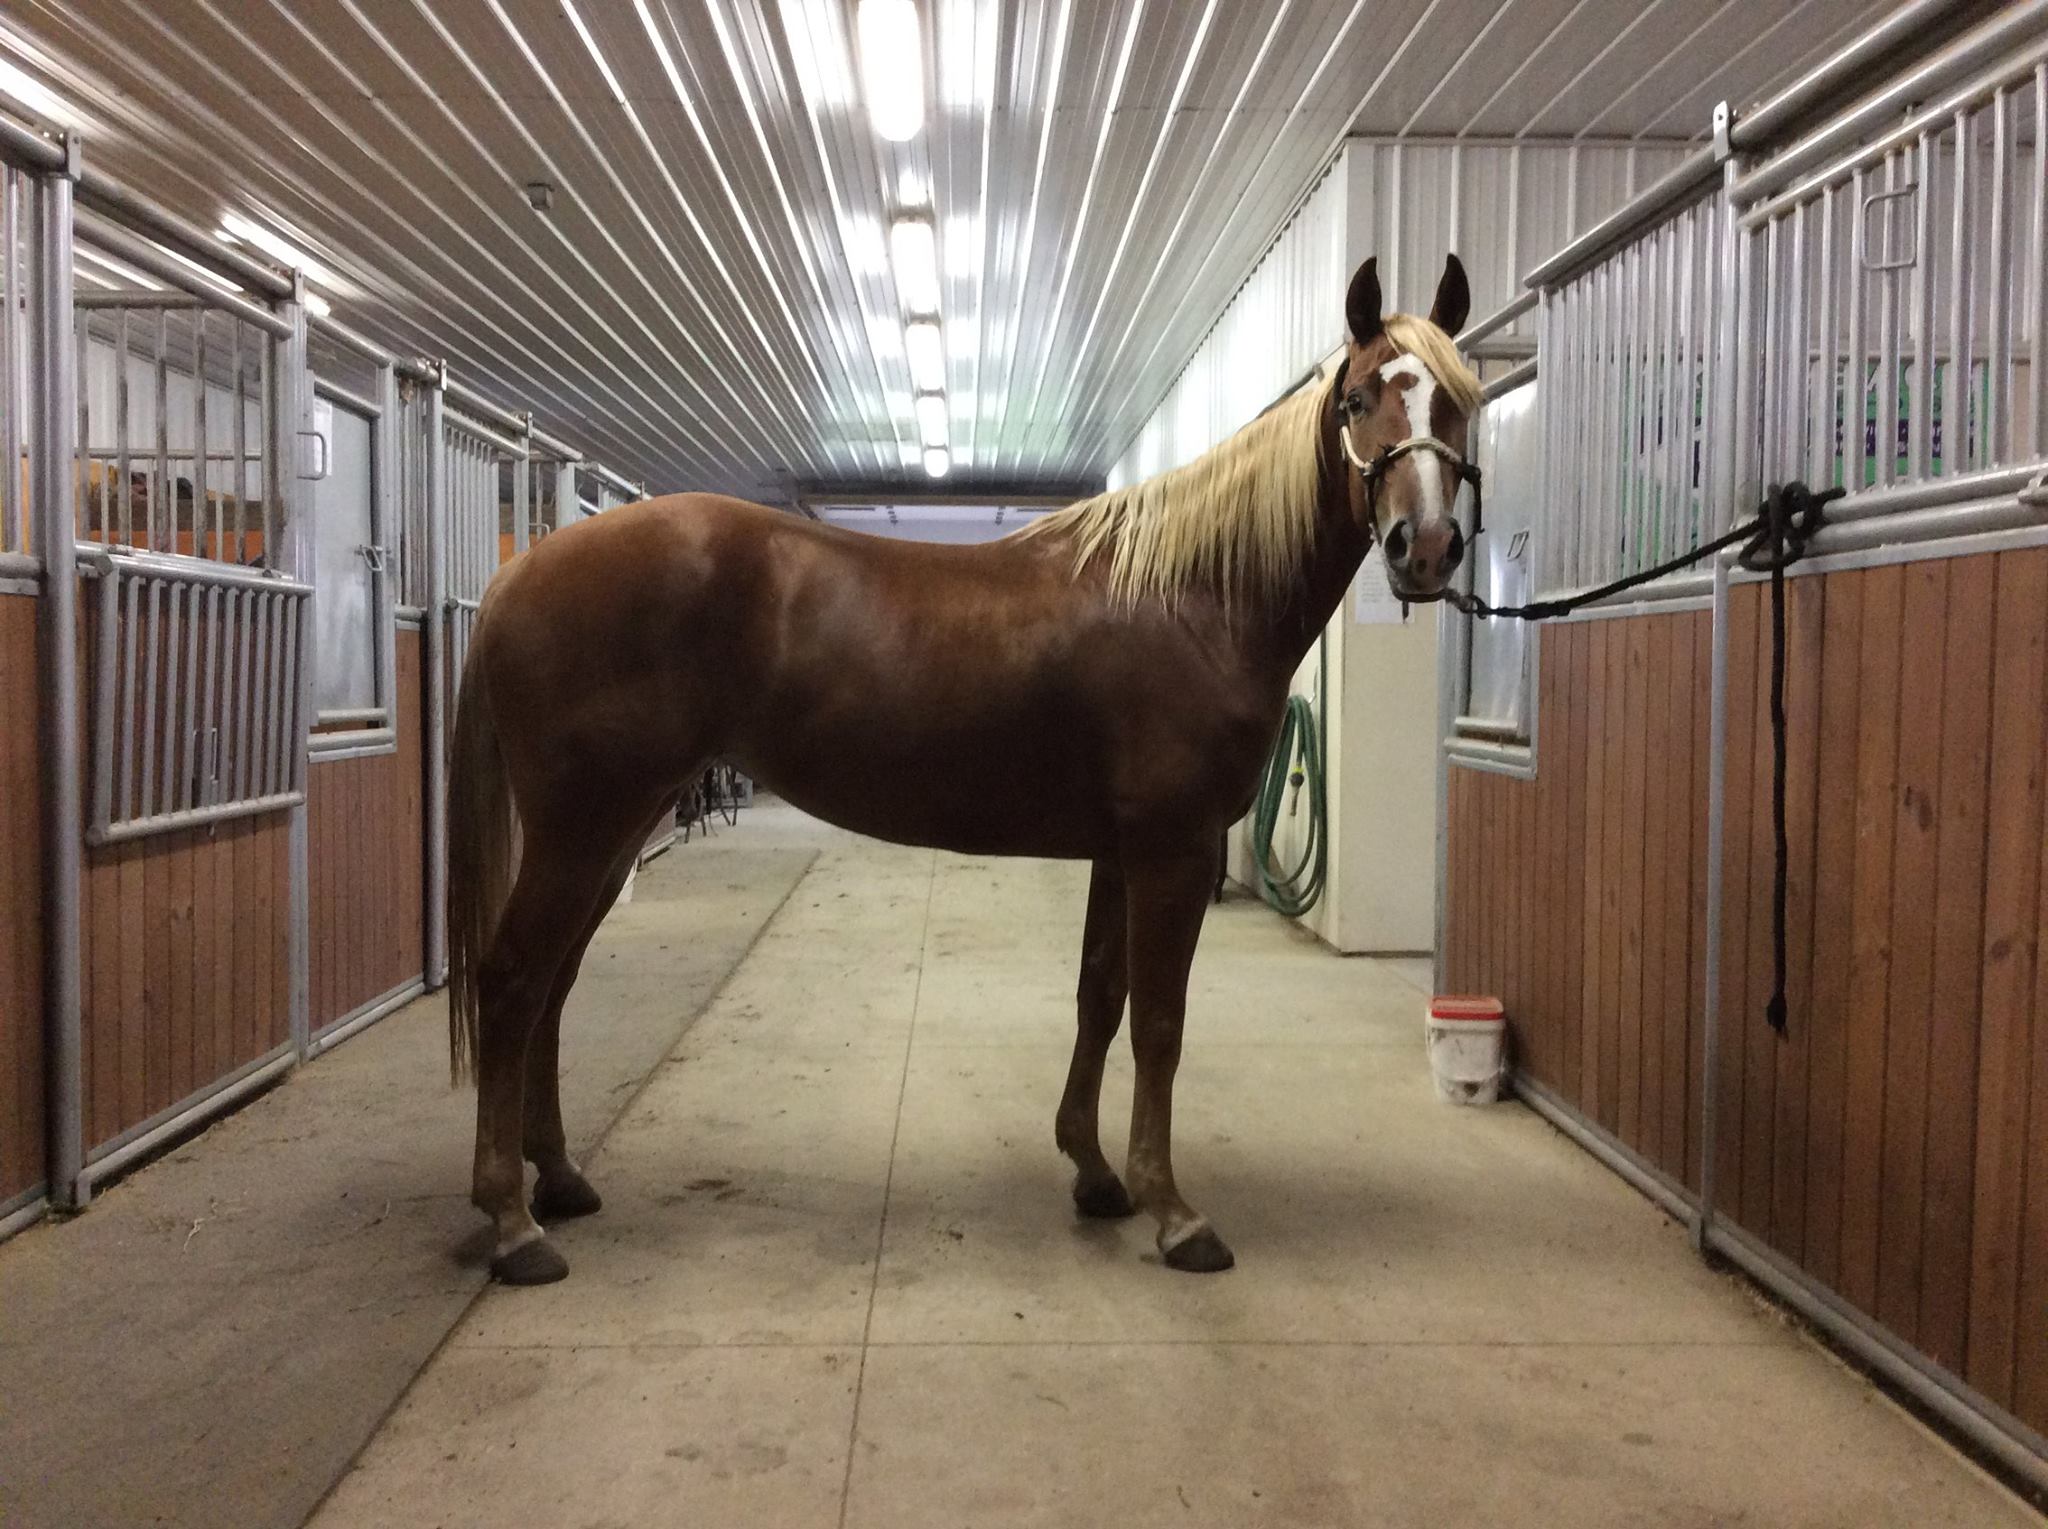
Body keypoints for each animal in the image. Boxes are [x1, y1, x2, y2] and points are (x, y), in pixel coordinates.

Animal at [446, 253, 1479, 1285]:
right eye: (1356, 399)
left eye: (1461, 401)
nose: (1424, 548)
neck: (1192, 598)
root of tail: (517, 572)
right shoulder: (1172, 852)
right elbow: (1160, 1022)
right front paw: (1175, 1212)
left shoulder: (1122, 852)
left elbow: (1100, 998)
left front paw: (1095, 1172)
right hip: (582, 827)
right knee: (512, 977)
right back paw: (512, 1223)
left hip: (616, 827)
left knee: (554, 982)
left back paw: (561, 1180)